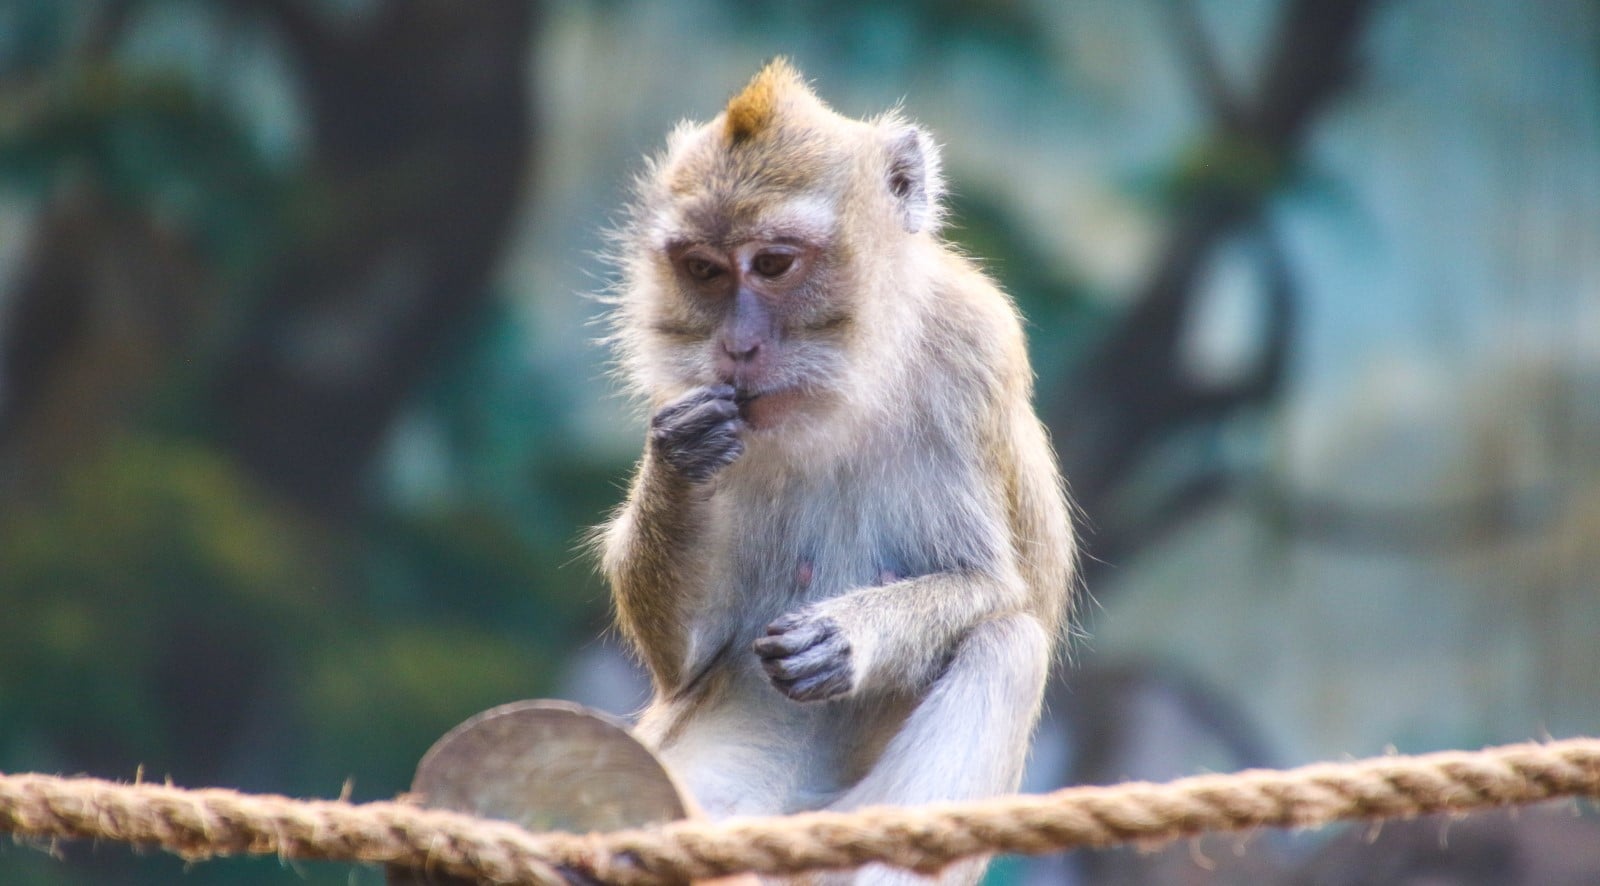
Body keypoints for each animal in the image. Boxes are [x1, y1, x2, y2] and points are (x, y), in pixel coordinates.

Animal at [596, 59, 1076, 885]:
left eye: (774, 264)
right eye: (704, 270)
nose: (737, 348)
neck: (845, 393)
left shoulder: (973, 351)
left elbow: (994, 587)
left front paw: (848, 638)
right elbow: (688, 657)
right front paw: (681, 454)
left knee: (1007, 645)